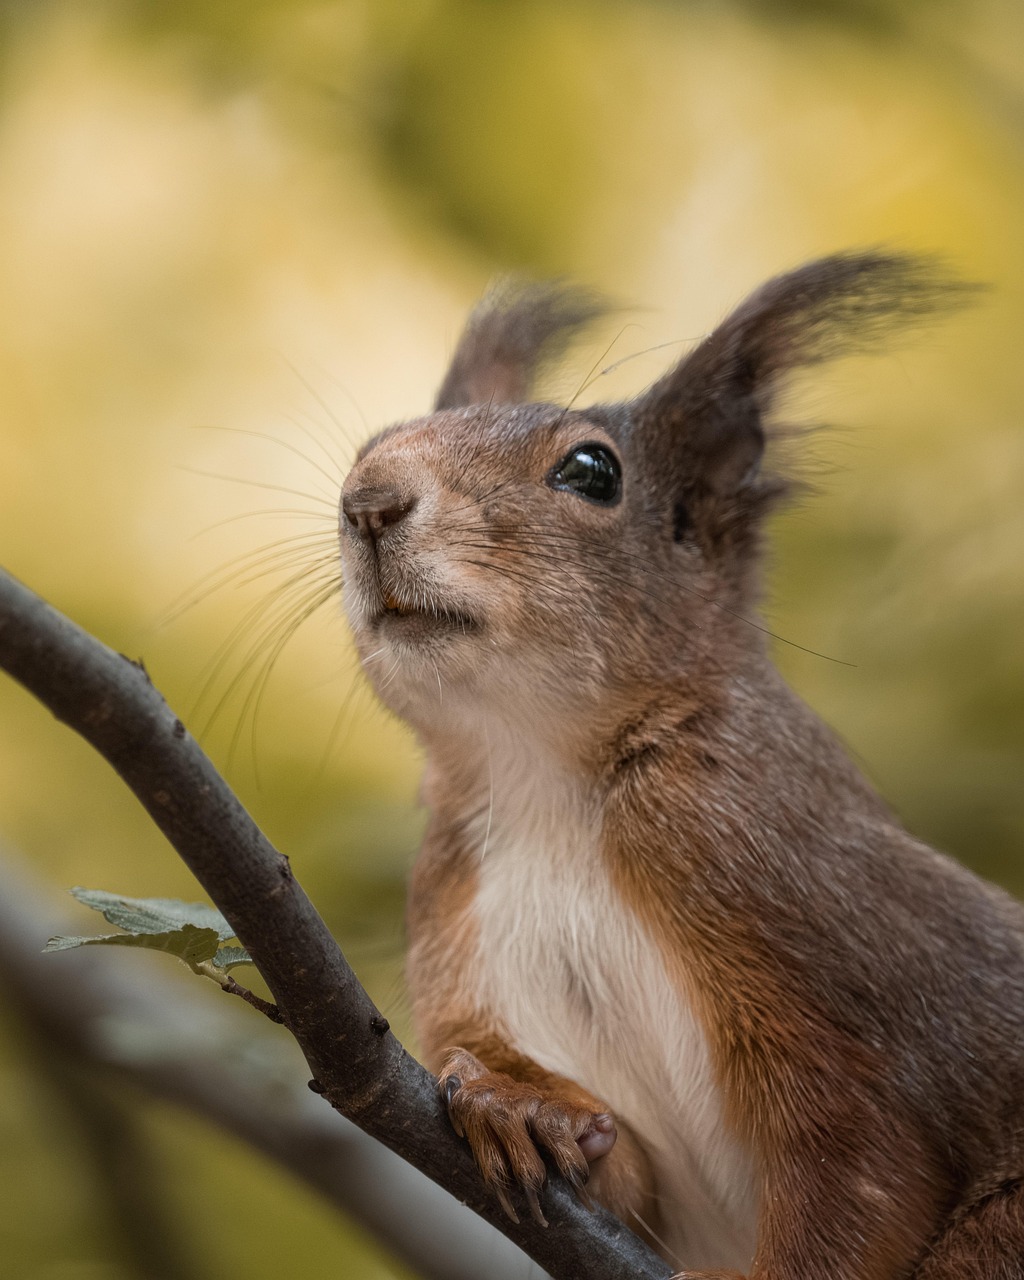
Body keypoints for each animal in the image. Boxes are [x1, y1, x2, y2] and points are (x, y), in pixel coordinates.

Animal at [338, 253, 1024, 1279]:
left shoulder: (792, 912)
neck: (542, 780)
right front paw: (517, 1105)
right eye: (370, 442)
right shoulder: (457, 910)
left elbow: (861, 1176)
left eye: (591, 471)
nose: (368, 501)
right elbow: (618, 1181)